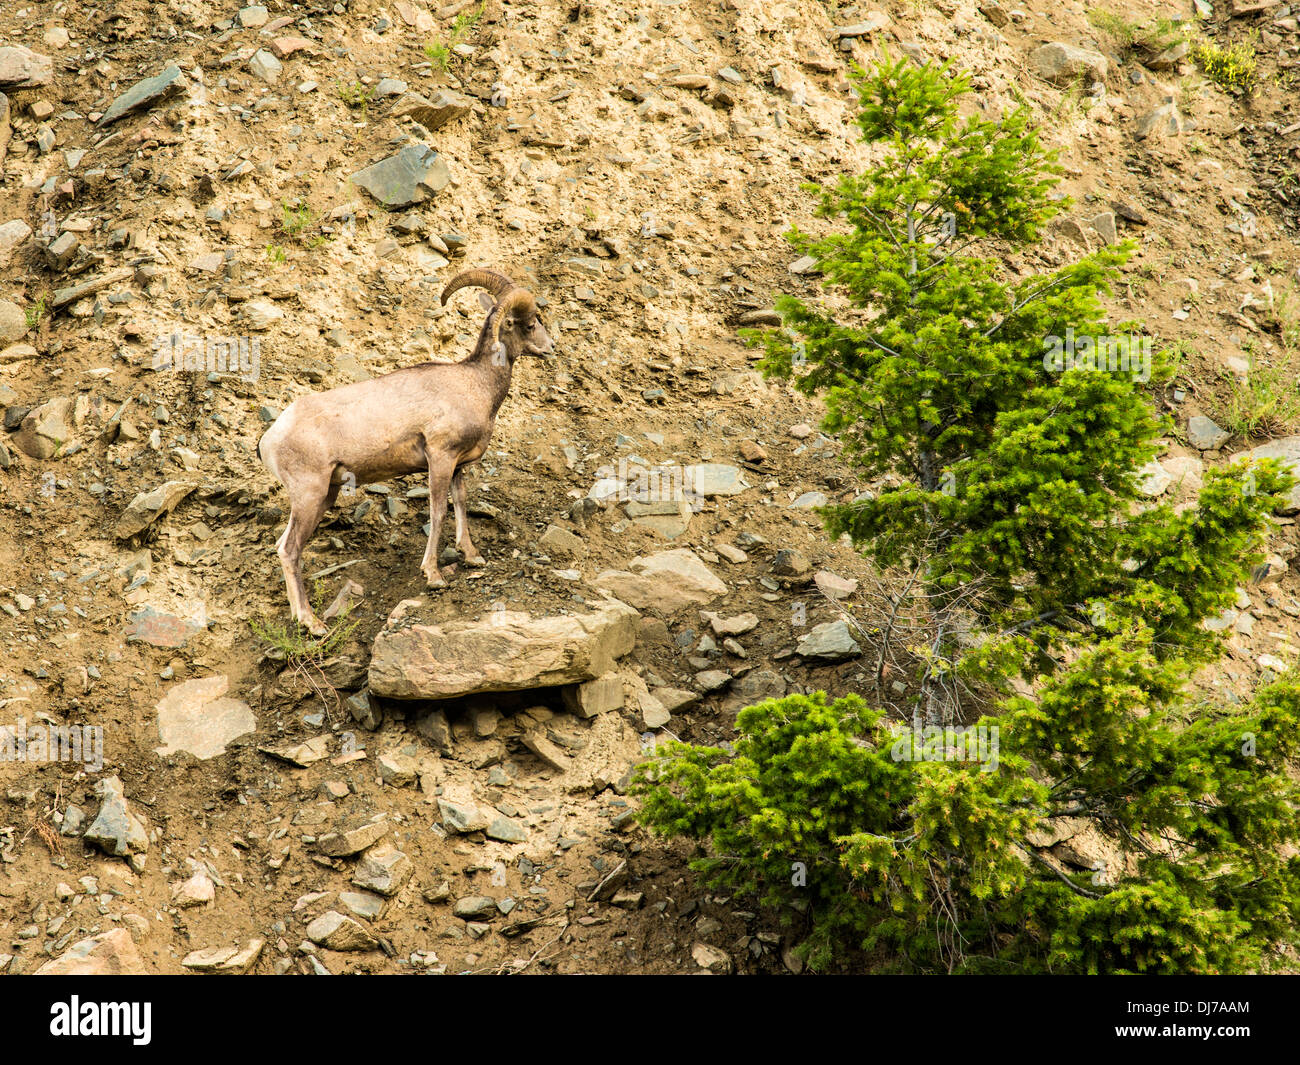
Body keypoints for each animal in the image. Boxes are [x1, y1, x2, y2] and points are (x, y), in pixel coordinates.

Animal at [257, 268, 552, 635]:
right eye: (530, 323)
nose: (551, 348)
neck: (475, 384)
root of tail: (270, 438)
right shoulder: (439, 458)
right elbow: (438, 512)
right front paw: (434, 576)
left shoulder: (457, 466)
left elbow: (460, 505)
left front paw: (472, 556)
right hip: (309, 495)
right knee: (289, 550)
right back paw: (312, 624)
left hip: (324, 495)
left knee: (283, 546)